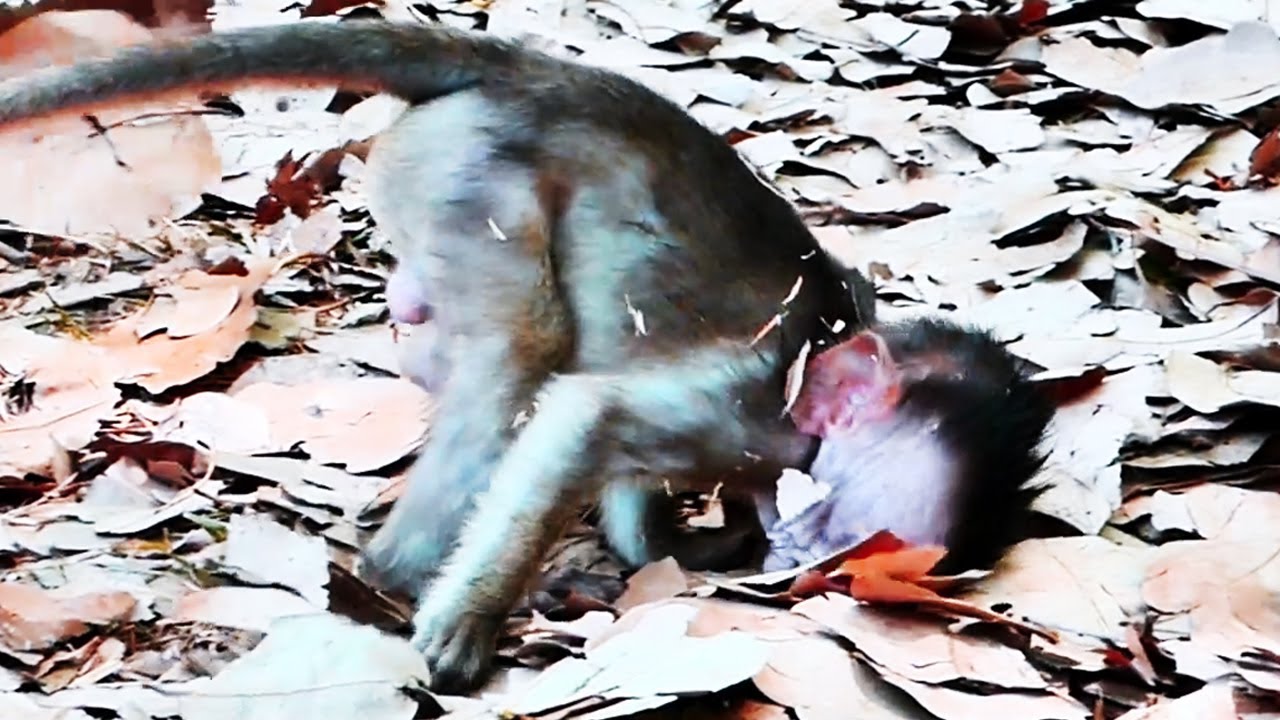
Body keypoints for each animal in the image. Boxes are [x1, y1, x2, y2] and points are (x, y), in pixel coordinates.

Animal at [0, 19, 878, 693]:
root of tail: (535, 70)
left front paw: (675, 545)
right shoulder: (748, 416)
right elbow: (590, 416)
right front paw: (469, 621)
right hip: (469, 179)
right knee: (523, 350)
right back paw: (403, 573)